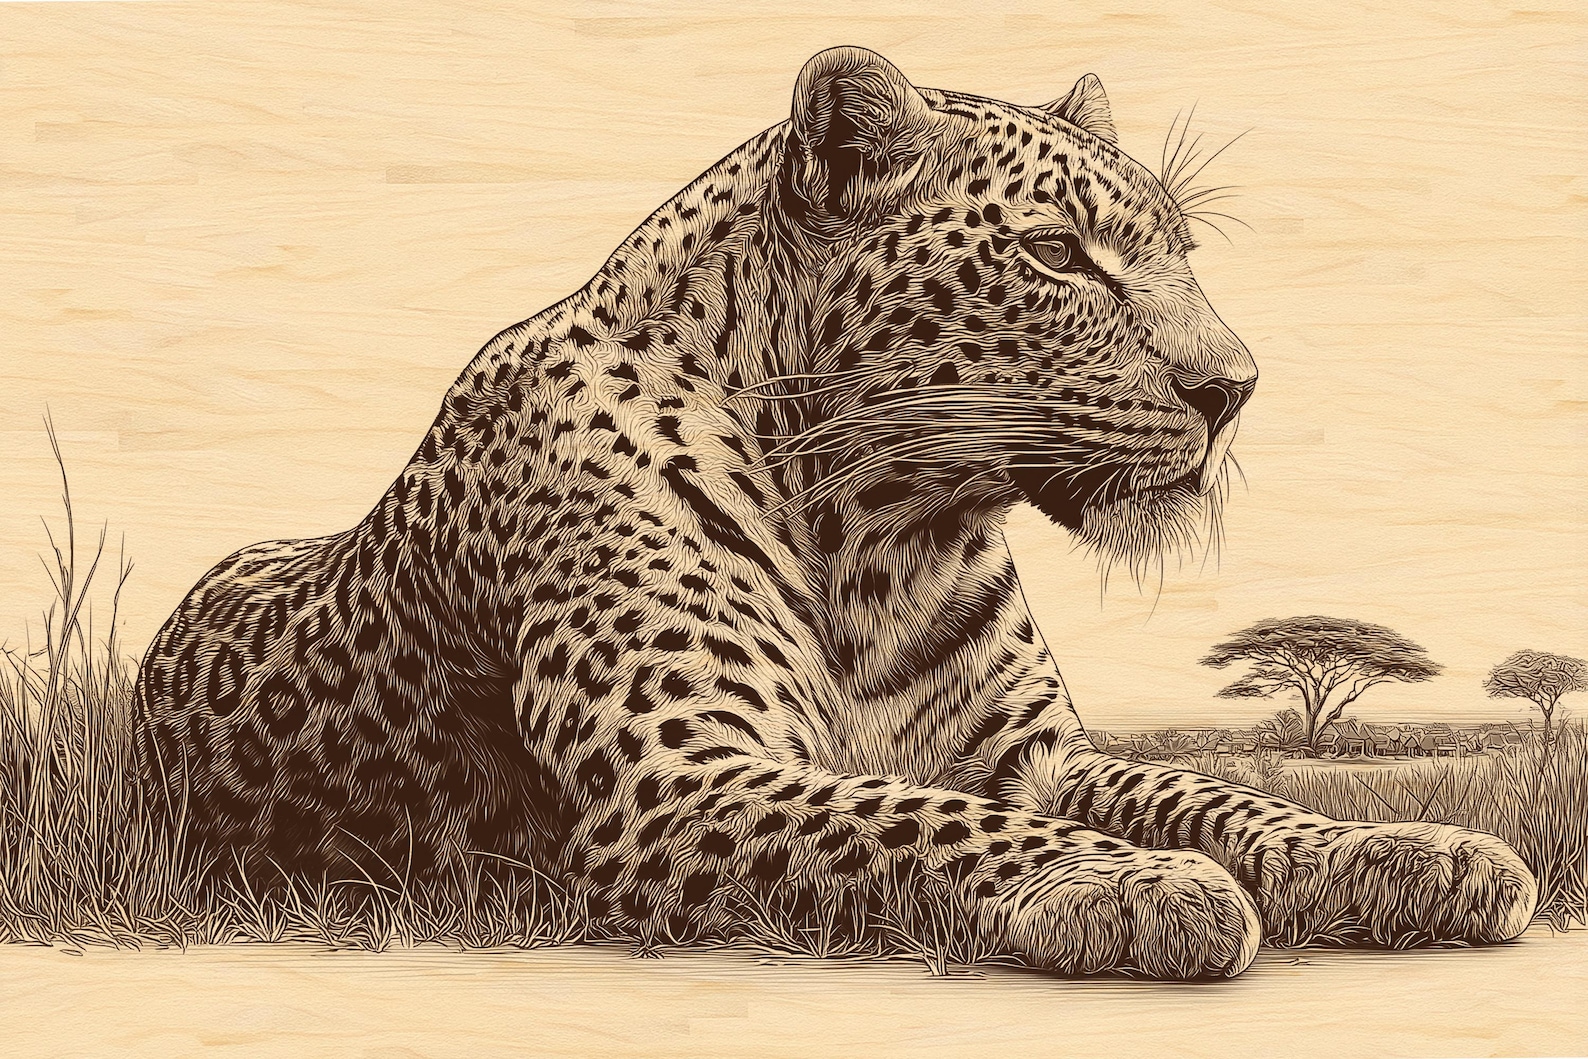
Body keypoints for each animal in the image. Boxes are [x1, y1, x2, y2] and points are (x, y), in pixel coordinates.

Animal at [134, 47, 1536, 978]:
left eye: (1180, 251)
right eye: (1055, 255)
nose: (1232, 390)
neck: (884, 533)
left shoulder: (1035, 755)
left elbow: (1214, 793)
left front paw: (1407, 853)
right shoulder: (679, 780)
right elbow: (912, 816)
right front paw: (1127, 883)